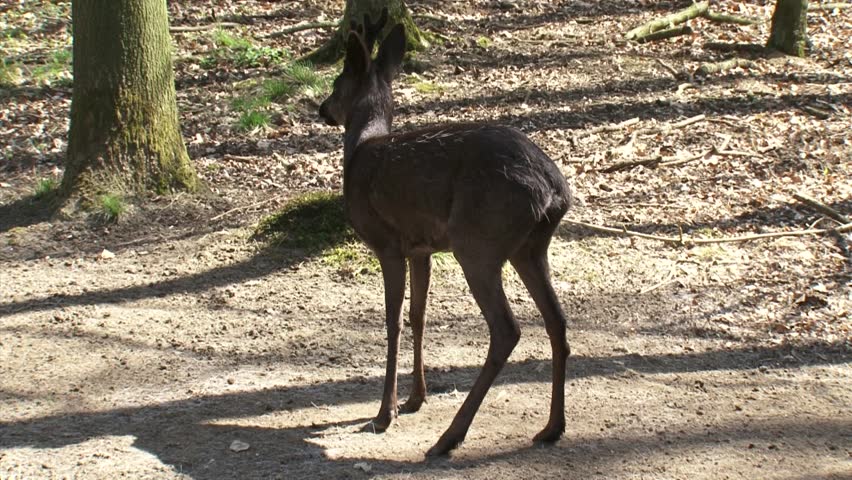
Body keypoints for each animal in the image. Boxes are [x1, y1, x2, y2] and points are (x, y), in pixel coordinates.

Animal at [318, 16, 573, 457]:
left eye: (337, 81)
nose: (321, 109)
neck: (360, 151)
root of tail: (554, 192)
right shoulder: (421, 248)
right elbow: (419, 315)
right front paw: (415, 398)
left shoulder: (387, 243)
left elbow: (393, 320)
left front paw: (384, 414)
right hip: (530, 247)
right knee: (556, 320)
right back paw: (551, 428)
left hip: (478, 242)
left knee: (507, 329)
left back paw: (450, 436)